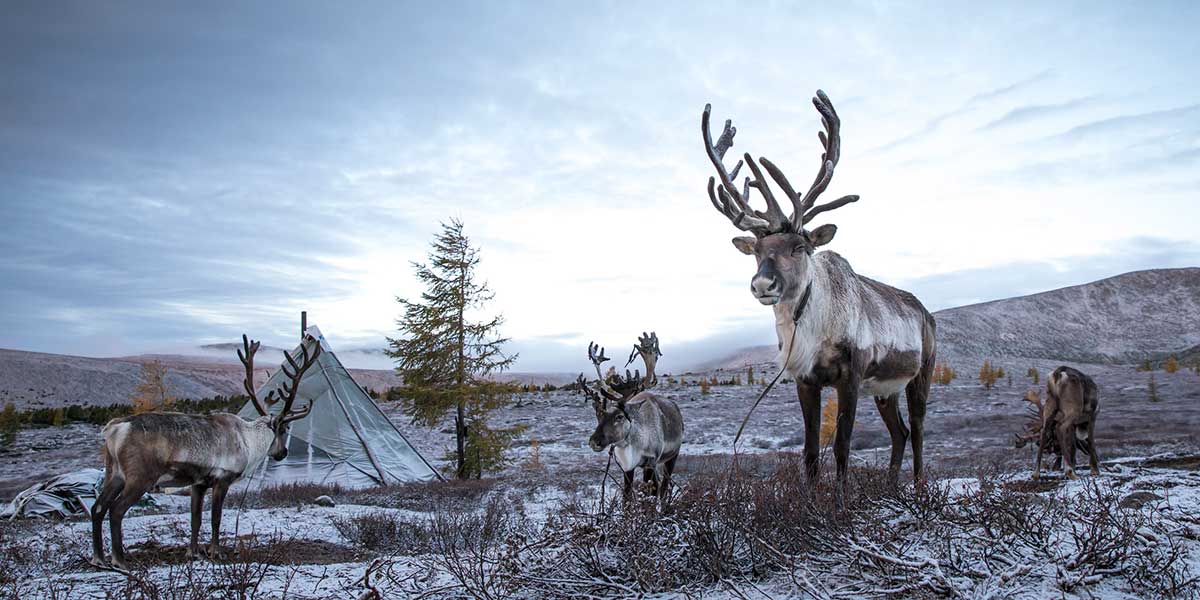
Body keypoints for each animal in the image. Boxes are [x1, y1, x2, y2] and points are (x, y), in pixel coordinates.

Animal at [90, 335, 320, 570]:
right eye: (284, 429)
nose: (283, 453)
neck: (250, 441)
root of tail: (114, 428)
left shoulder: (198, 483)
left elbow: (196, 518)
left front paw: (193, 553)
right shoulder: (222, 479)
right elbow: (215, 518)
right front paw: (216, 552)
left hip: (114, 473)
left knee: (98, 507)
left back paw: (98, 558)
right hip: (140, 477)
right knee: (116, 510)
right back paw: (120, 560)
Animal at [578, 332, 683, 504]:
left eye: (619, 416)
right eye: (598, 415)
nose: (594, 441)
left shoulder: (651, 462)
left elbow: (650, 493)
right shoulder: (627, 468)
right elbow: (626, 498)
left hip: (672, 456)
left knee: (664, 486)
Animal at [700, 91, 936, 486]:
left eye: (799, 246)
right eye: (758, 251)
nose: (763, 284)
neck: (812, 329)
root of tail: (925, 312)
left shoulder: (851, 377)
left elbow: (841, 446)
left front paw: (840, 496)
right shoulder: (805, 380)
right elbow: (810, 452)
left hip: (922, 372)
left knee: (917, 429)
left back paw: (918, 486)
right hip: (885, 389)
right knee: (899, 432)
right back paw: (891, 486)